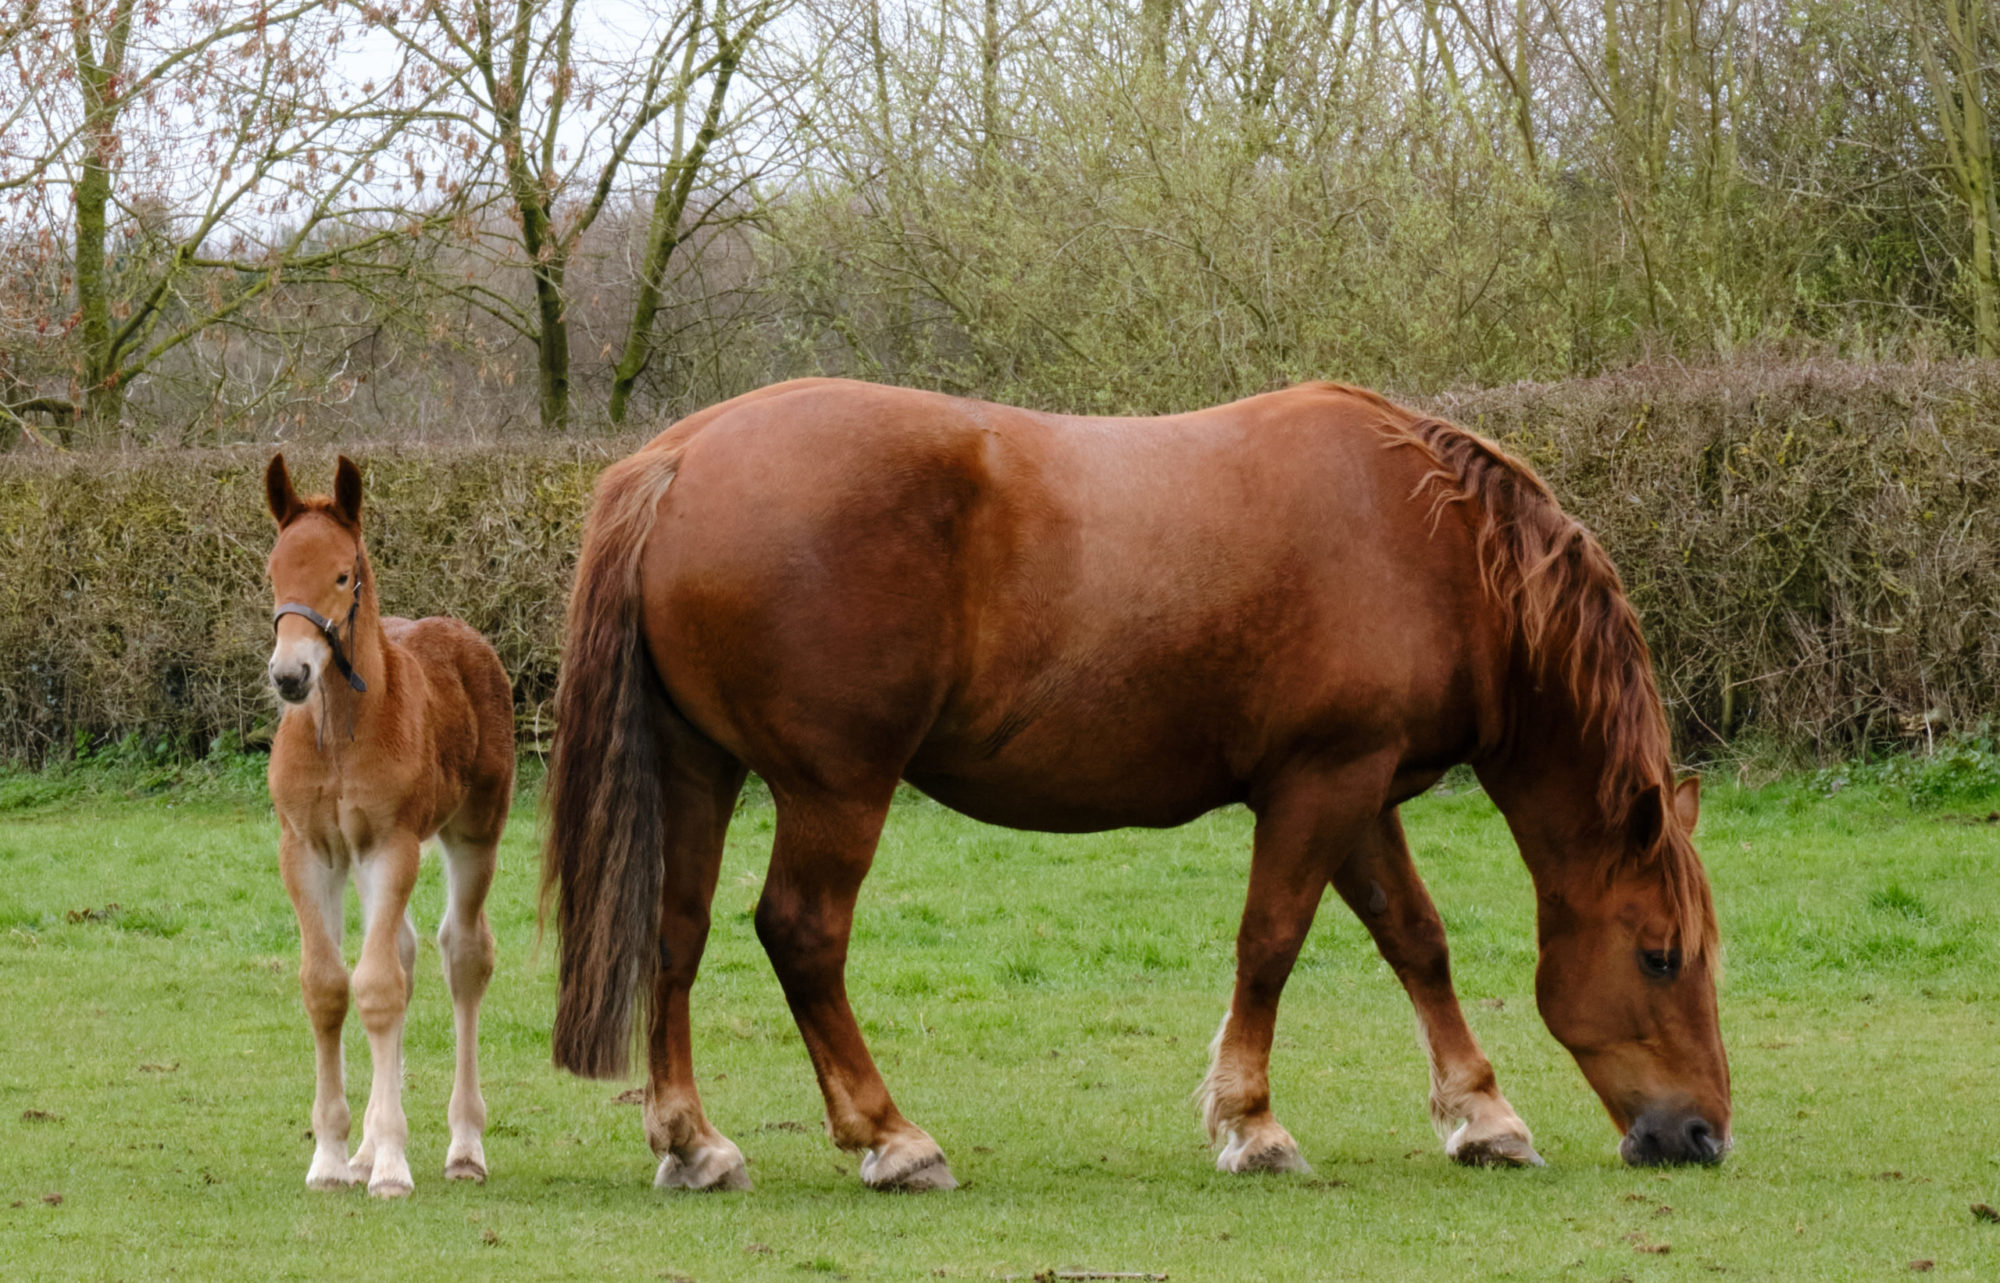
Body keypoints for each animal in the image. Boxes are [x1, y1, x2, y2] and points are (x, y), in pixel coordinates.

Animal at [263, 454, 515, 1198]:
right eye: (275, 571)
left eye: (342, 575)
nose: (290, 674)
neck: (338, 732)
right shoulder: (309, 851)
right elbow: (327, 986)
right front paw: (331, 1157)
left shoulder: (391, 844)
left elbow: (375, 988)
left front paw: (395, 1168)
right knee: (400, 951)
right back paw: (367, 1150)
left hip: (474, 832)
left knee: (463, 953)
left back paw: (464, 1147)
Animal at [540, 378, 1729, 1193]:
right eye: (1658, 954)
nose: (1702, 1133)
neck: (1431, 546)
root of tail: (679, 457)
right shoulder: (1322, 782)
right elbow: (1271, 943)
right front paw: (1252, 1123)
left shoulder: (1361, 790)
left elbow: (1415, 939)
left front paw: (1481, 1115)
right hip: (837, 788)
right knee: (800, 934)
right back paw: (892, 1136)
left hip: (700, 766)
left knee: (677, 933)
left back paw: (693, 1141)